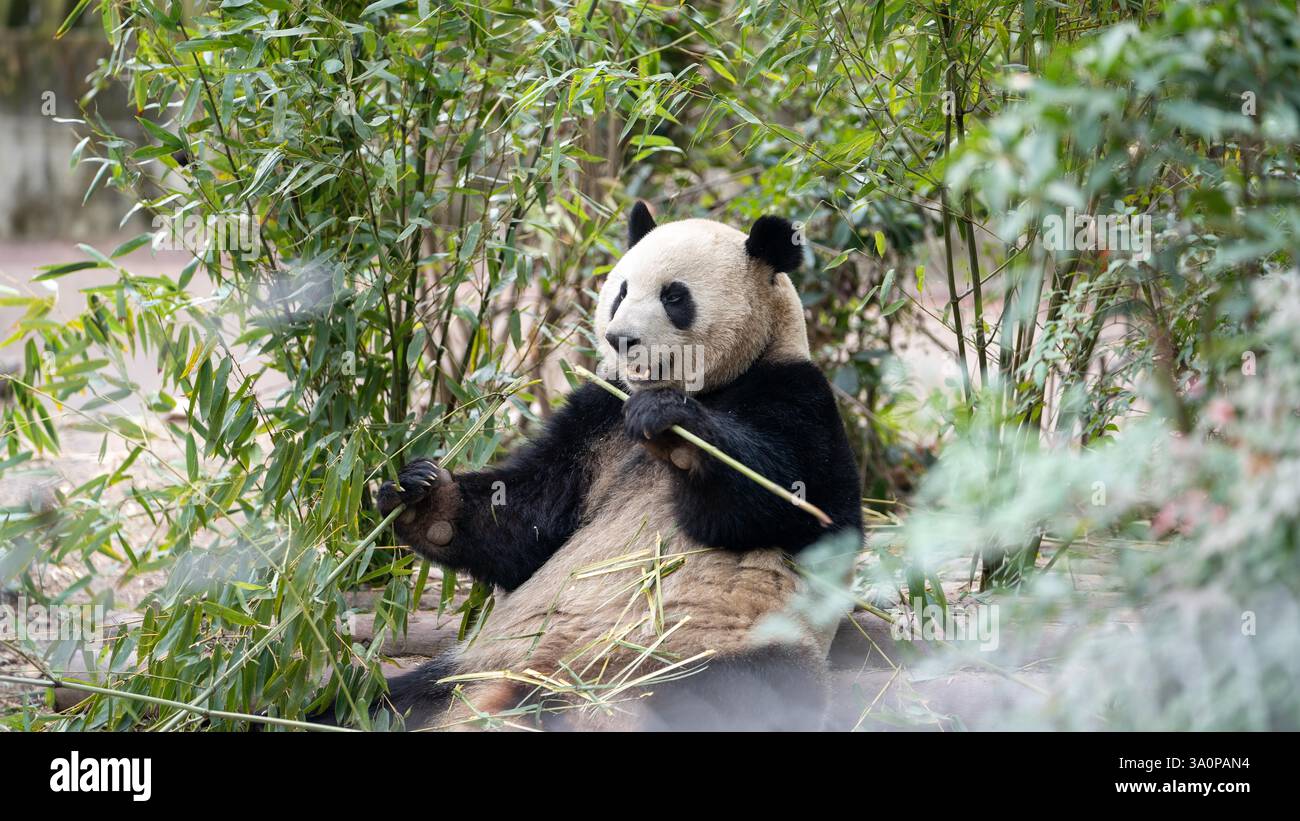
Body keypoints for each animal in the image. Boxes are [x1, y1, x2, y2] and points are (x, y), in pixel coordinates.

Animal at [371, 202, 863, 730]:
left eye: (674, 296)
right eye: (621, 291)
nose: (619, 339)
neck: (717, 386)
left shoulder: (798, 395)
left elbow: (799, 506)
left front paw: (674, 429)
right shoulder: (598, 416)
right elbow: (530, 519)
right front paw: (423, 498)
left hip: (709, 649)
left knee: (726, 695)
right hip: (469, 667)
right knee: (380, 699)